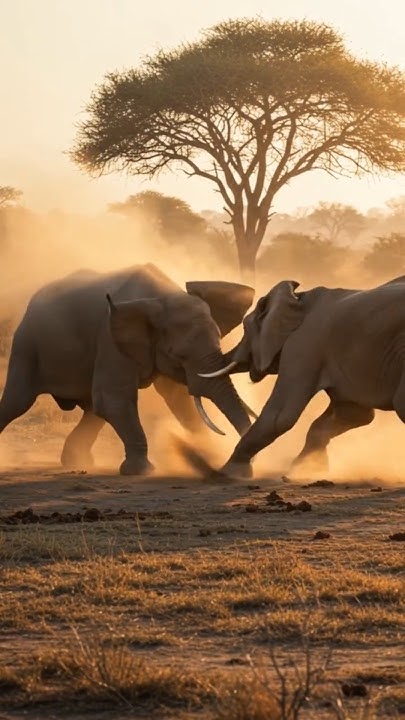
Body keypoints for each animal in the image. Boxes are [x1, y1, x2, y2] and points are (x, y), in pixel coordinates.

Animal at [0, 263, 256, 475]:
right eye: (179, 355)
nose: (241, 467)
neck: (163, 296)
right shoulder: (110, 338)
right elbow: (114, 397)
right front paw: (142, 471)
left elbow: (176, 398)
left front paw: (208, 454)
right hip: (26, 344)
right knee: (17, 402)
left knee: (92, 409)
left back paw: (79, 462)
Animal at [200, 275, 405, 479]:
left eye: (245, 329)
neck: (298, 300)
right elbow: (354, 415)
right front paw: (304, 471)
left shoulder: (302, 345)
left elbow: (280, 416)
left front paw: (226, 473)